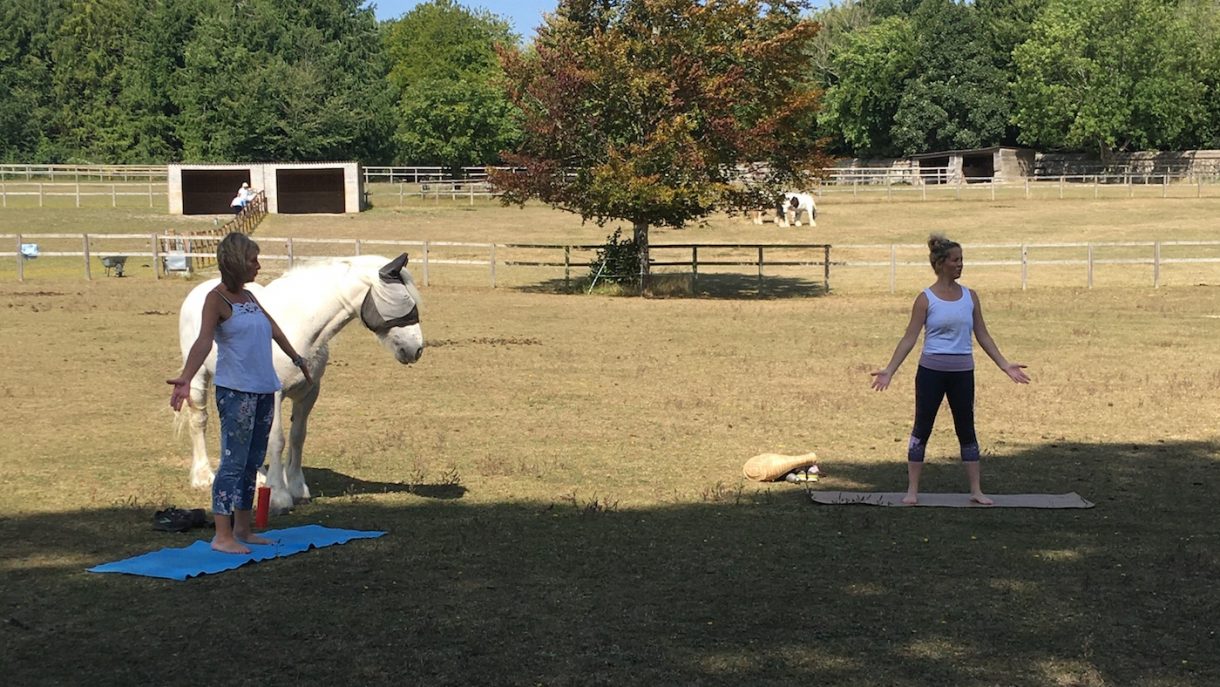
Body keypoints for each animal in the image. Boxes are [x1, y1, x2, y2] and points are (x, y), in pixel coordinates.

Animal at [174, 253, 424, 513]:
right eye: (405, 300)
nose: (416, 348)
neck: (299, 327)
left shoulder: (309, 393)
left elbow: (297, 437)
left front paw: (296, 487)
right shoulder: (273, 394)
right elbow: (277, 441)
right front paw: (278, 495)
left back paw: (258, 477)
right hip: (198, 378)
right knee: (199, 422)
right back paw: (203, 477)